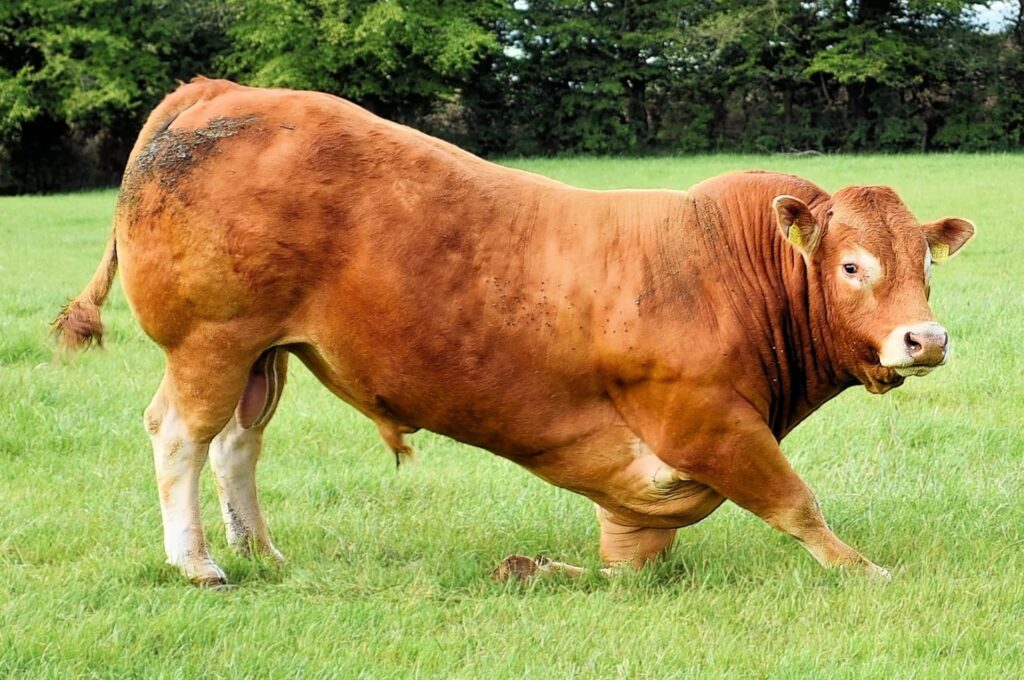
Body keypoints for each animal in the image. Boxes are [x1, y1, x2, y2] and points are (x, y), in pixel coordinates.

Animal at [54, 78, 975, 586]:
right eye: (852, 265)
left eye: (925, 267)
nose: (924, 341)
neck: (723, 268)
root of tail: (217, 91)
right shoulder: (708, 423)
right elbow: (796, 503)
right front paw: (868, 571)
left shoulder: (648, 492)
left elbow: (632, 558)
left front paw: (536, 570)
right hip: (212, 338)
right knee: (181, 434)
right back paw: (200, 563)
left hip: (265, 353)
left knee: (237, 445)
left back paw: (259, 551)